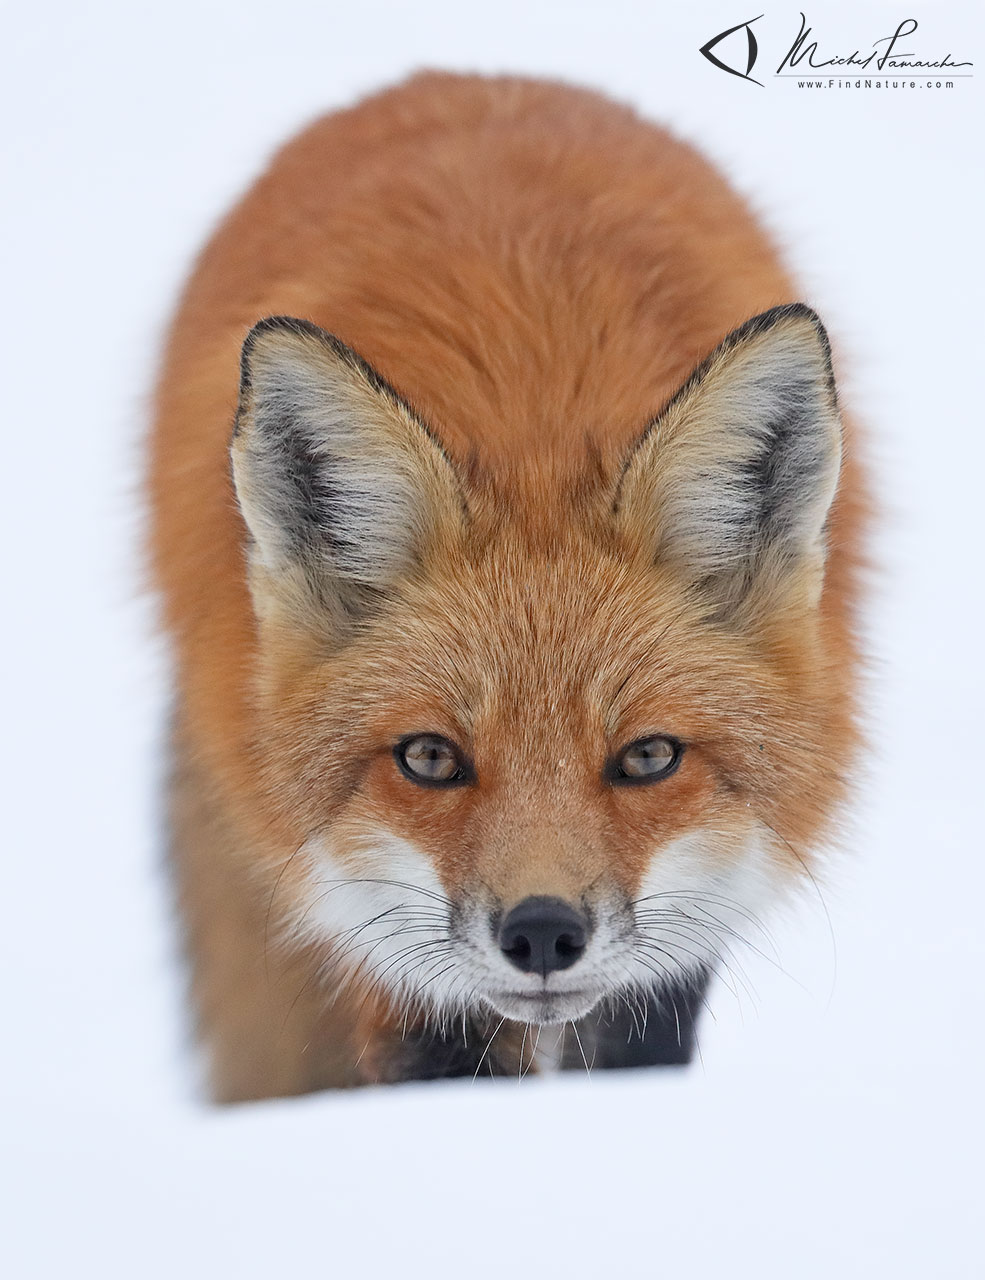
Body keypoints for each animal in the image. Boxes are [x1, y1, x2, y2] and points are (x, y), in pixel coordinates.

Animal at [148, 71, 866, 1102]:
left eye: (647, 757)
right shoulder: (380, 938)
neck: (533, 431)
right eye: (429, 758)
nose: (541, 933)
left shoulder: (680, 945)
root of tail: (458, 74)